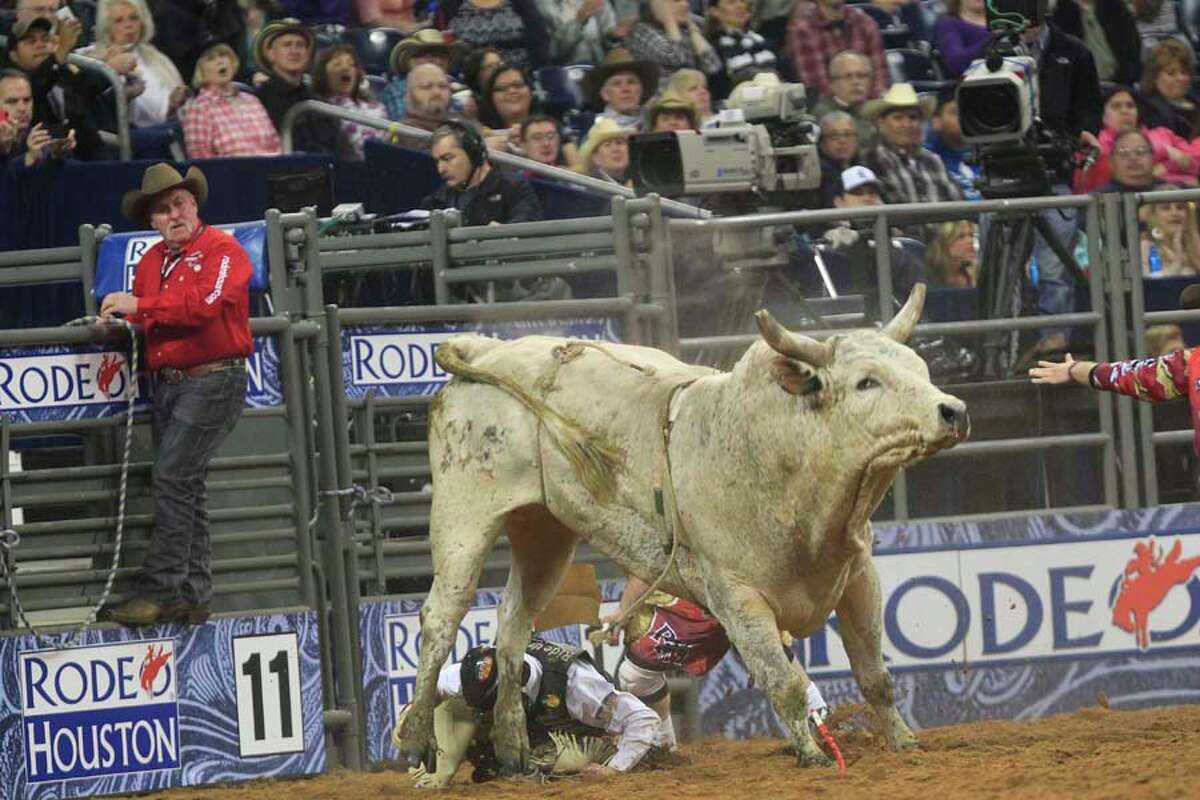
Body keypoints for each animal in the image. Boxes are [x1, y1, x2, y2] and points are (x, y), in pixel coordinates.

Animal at [395, 284, 968, 771]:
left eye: (920, 367)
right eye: (866, 381)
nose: (953, 410)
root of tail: (483, 351)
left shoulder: (858, 575)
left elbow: (875, 676)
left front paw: (904, 743)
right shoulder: (739, 598)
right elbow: (783, 681)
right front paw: (814, 756)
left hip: (543, 531)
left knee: (514, 625)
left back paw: (513, 747)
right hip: (464, 515)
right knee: (441, 619)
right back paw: (419, 741)